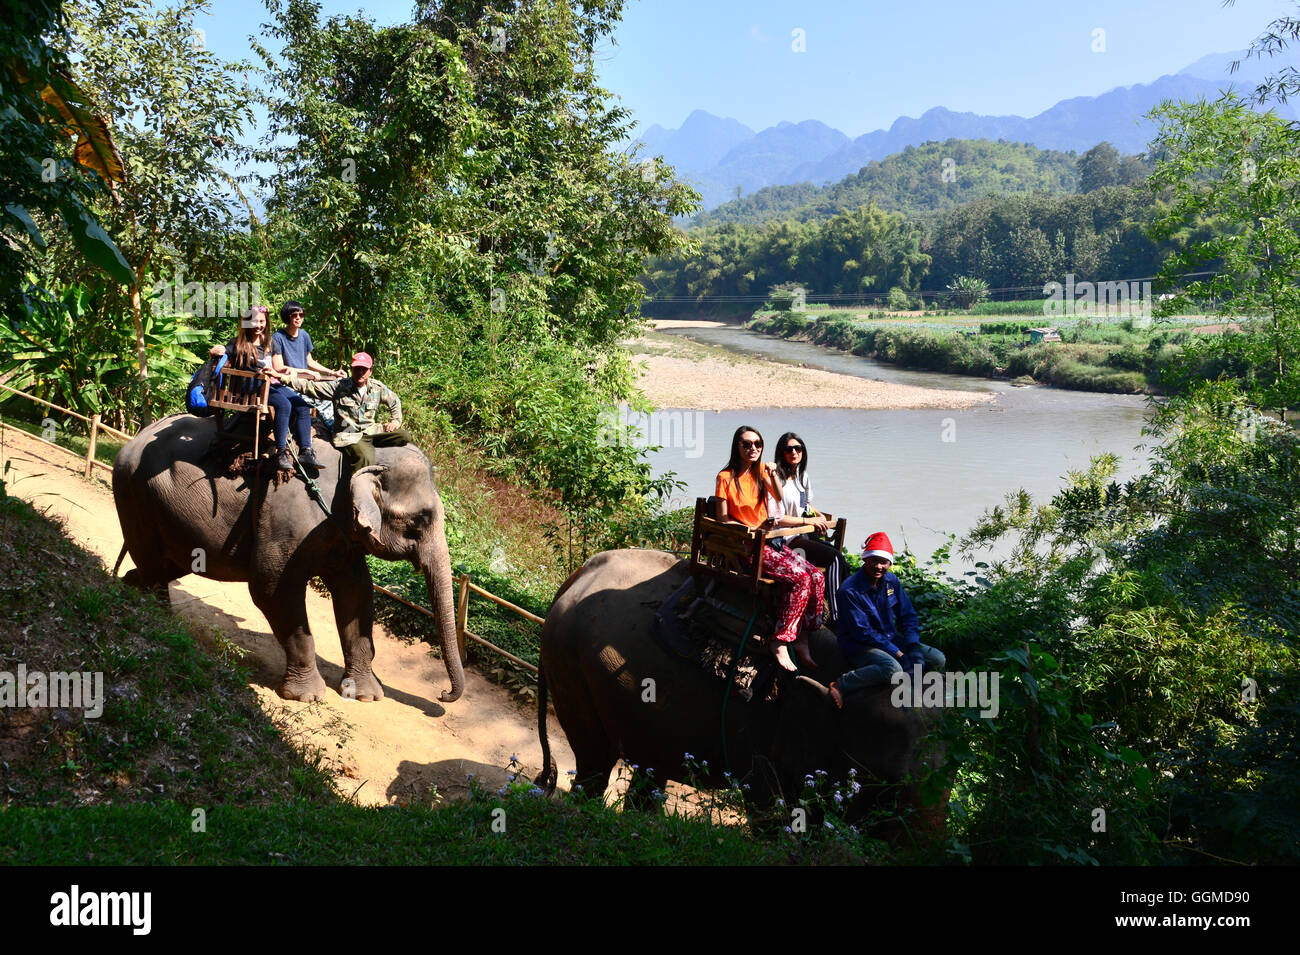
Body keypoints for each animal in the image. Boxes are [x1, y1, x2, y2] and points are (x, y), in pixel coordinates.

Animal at [111, 413, 462, 703]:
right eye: (421, 518)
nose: (443, 694)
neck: (357, 456)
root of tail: (135, 437)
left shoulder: (342, 535)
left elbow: (357, 593)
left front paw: (366, 696)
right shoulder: (290, 515)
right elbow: (272, 587)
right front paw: (307, 697)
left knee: (169, 564)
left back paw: (130, 586)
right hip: (133, 491)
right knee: (155, 562)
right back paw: (158, 617)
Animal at [536, 549, 946, 835]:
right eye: (886, 786)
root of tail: (580, 572)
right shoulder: (767, 735)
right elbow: (773, 815)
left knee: (650, 768)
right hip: (570, 661)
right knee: (595, 758)